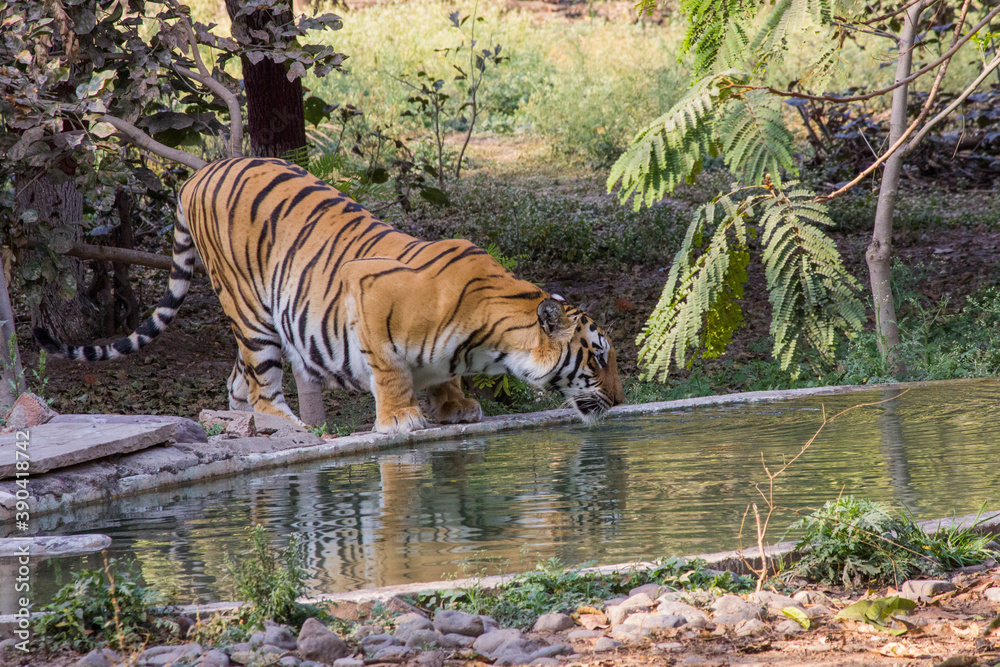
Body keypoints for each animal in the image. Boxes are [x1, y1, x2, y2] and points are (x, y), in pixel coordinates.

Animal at [35, 157, 624, 434]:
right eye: (598, 358)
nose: (621, 401)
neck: (490, 341)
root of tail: (199, 173)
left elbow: (444, 375)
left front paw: (456, 406)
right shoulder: (370, 293)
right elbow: (390, 369)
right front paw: (402, 418)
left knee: (238, 381)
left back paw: (247, 426)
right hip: (249, 308)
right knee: (263, 382)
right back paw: (288, 425)